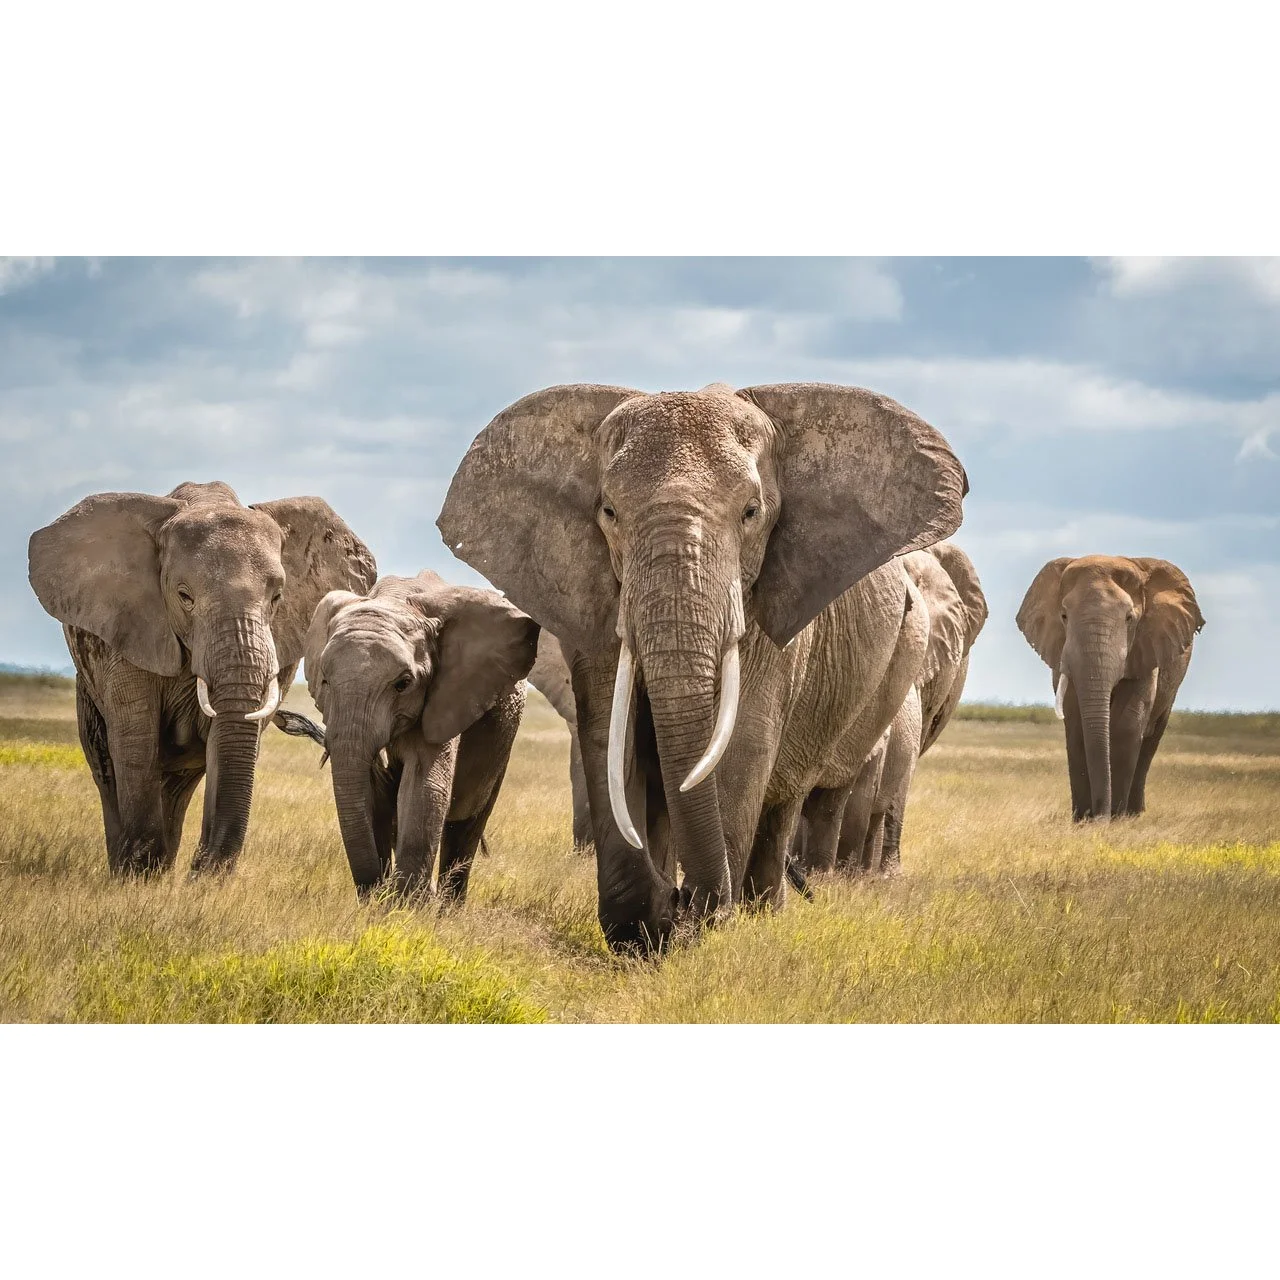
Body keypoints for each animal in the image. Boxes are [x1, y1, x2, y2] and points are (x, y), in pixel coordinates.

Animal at [27, 481, 376, 875]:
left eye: (277, 597)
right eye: (184, 596)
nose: (199, 870)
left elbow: (229, 739)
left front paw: (192, 877)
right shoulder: (126, 631)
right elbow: (135, 740)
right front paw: (137, 876)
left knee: (179, 785)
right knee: (106, 766)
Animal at [303, 570, 540, 900]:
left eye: (403, 684)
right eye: (324, 681)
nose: (376, 890)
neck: (397, 599)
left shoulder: (447, 693)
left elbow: (424, 784)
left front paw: (406, 904)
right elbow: (371, 790)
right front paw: (386, 902)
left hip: (504, 739)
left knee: (467, 825)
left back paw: (446, 906)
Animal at [1016, 555, 1205, 821]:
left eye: (1129, 618)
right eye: (1063, 616)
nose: (1099, 817)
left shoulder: (1146, 647)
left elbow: (1127, 724)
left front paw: (1114, 819)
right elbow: (1076, 723)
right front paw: (1082, 820)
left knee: (1152, 738)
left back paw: (1133, 814)